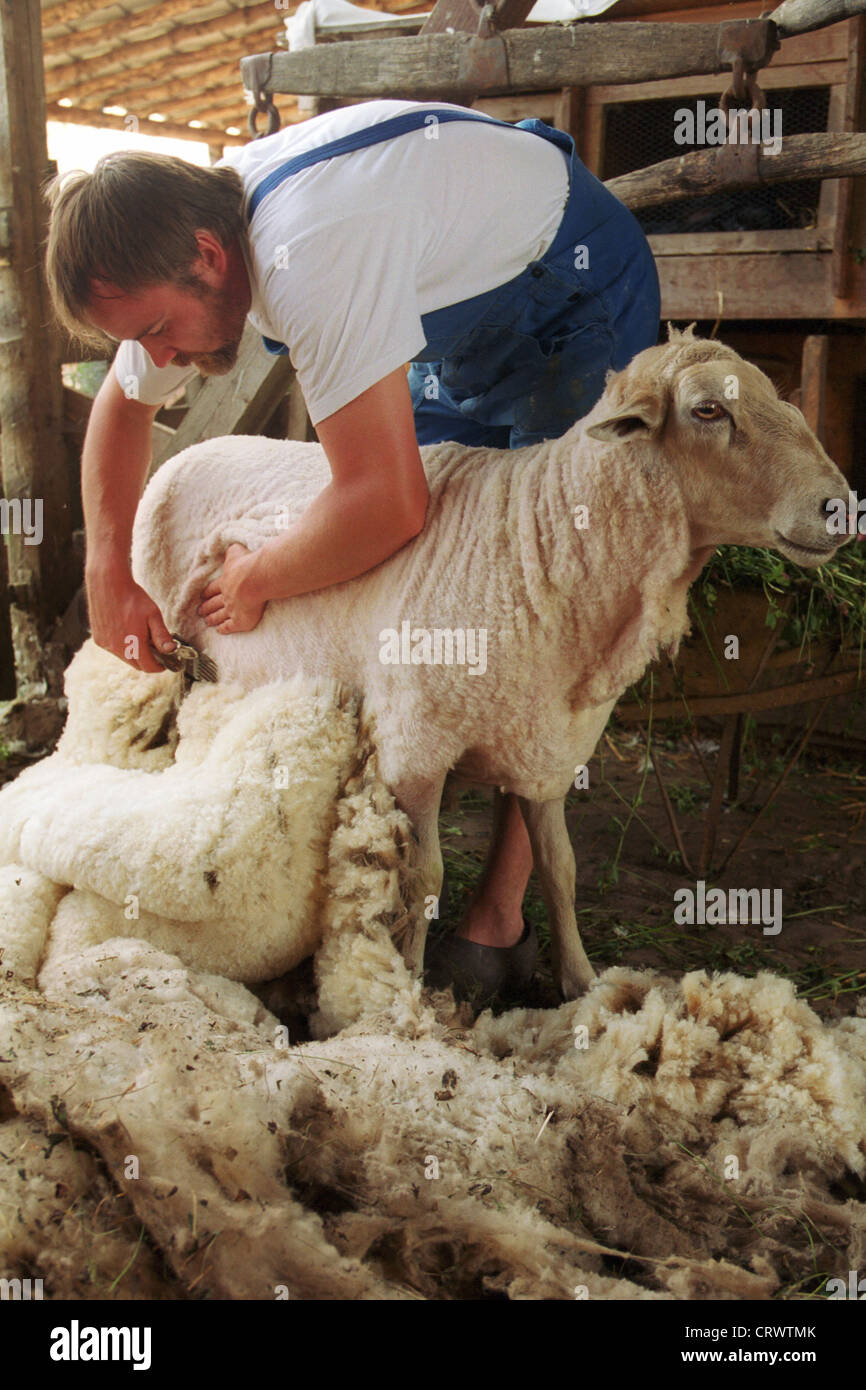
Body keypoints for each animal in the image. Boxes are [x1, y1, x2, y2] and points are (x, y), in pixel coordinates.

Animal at [131, 328, 851, 999]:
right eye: (708, 410)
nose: (840, 507)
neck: (541, 543)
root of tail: (194, 447)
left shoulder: (549, 751)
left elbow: (559, 869)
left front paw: (581, 980)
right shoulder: (416, 747)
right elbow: (426, 875)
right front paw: (412, 985)